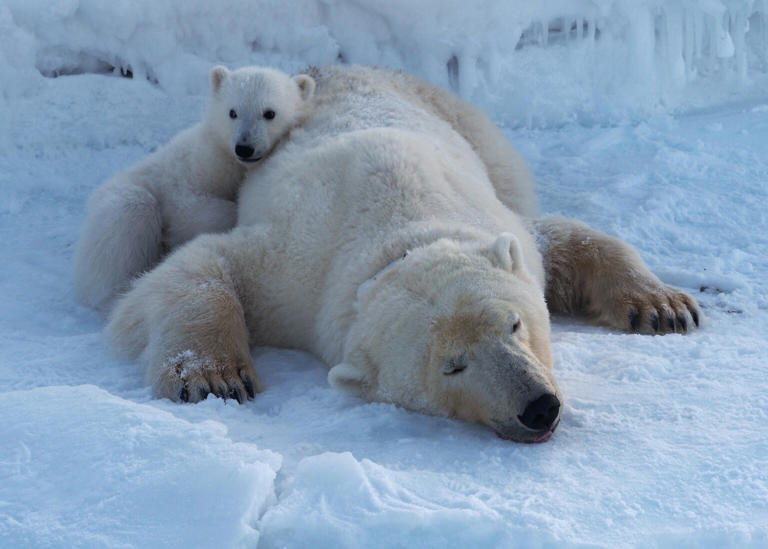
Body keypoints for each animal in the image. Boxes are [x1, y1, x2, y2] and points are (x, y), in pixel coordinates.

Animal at [73, 65, 316, 311]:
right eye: (232, 112)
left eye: (269, 113)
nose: (244, 147)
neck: (229, 162)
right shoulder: (191, 172)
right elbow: (188, 210)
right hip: (117, 201)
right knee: (129, 215)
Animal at [106, 65, 700, 443]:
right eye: (452, 367)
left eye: (514, 323)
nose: (538, 407)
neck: (399, 228)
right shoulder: (297, 271)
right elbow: (202, 266)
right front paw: (215, 378)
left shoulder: (493, 219)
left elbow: (562, 240)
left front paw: (663, 307)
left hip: (470, 126)